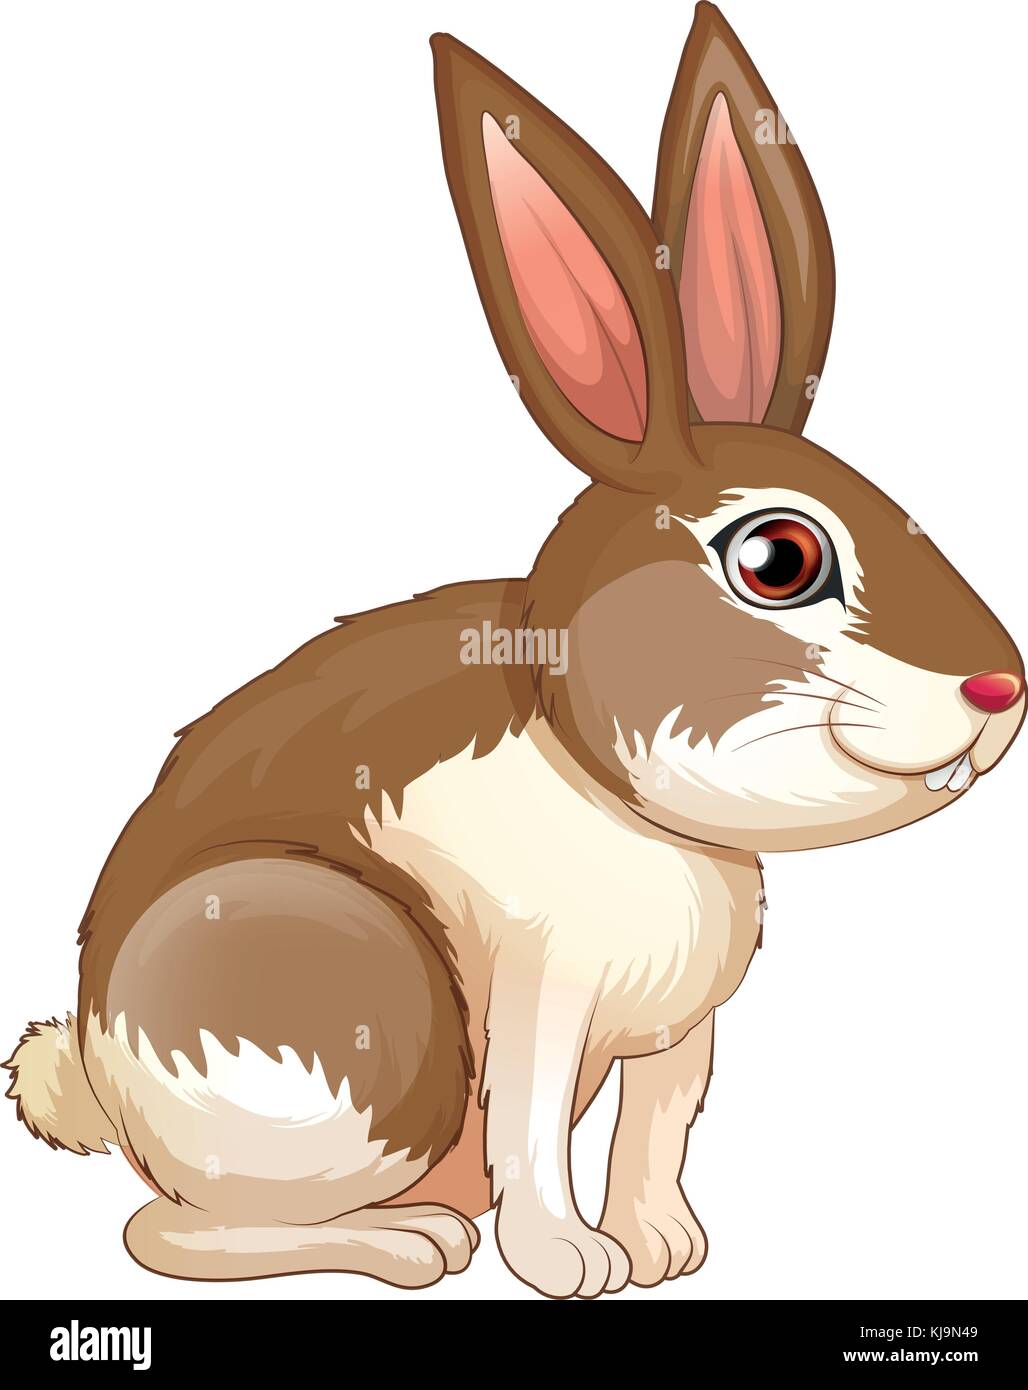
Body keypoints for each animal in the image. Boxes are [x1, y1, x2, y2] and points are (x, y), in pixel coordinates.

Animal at [5, 2, 1025, 1299]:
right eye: (778, 558)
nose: (999, 686)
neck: (611, 786)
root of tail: (93, 1071)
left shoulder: (680, 1035)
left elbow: (656, 1128)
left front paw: (664, 1250)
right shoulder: (540, 997)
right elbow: (536, 1132)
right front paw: (569, 1263)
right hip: (362, 1016)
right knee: (167, 1231)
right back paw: (408, 1244)